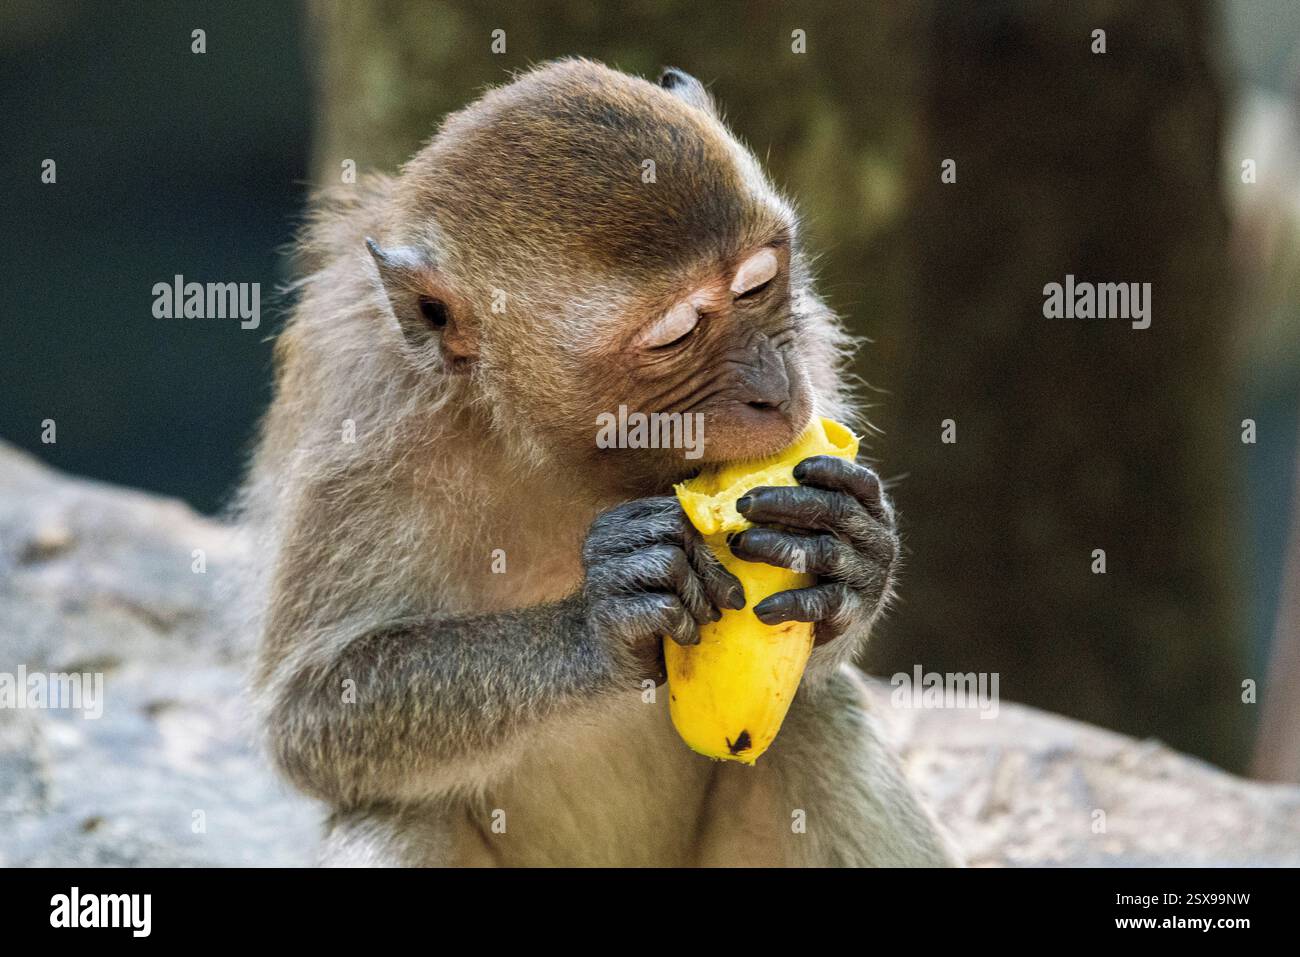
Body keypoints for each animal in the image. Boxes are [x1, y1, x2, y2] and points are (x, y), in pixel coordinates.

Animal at [242, 59, 957, 867]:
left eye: (757, 284)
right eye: (676, 335)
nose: (776, 391)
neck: (555, 447)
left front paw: (853, 550)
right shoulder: (357, 424)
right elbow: (311, 717)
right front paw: (599, 618)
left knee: (818, 714)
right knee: (394, 816)